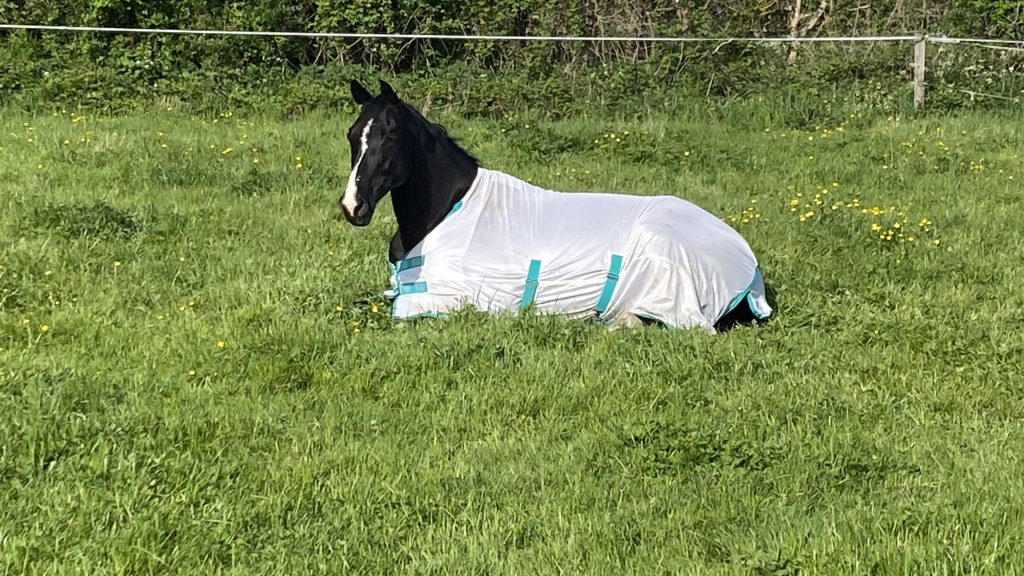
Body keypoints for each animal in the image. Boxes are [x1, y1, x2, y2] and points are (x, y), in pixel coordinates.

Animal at [341, 79, 772, 332]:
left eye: (391, 136)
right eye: (351, 134)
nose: (352, 207)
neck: (444, 212)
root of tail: (746, 260)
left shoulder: (432, 303)